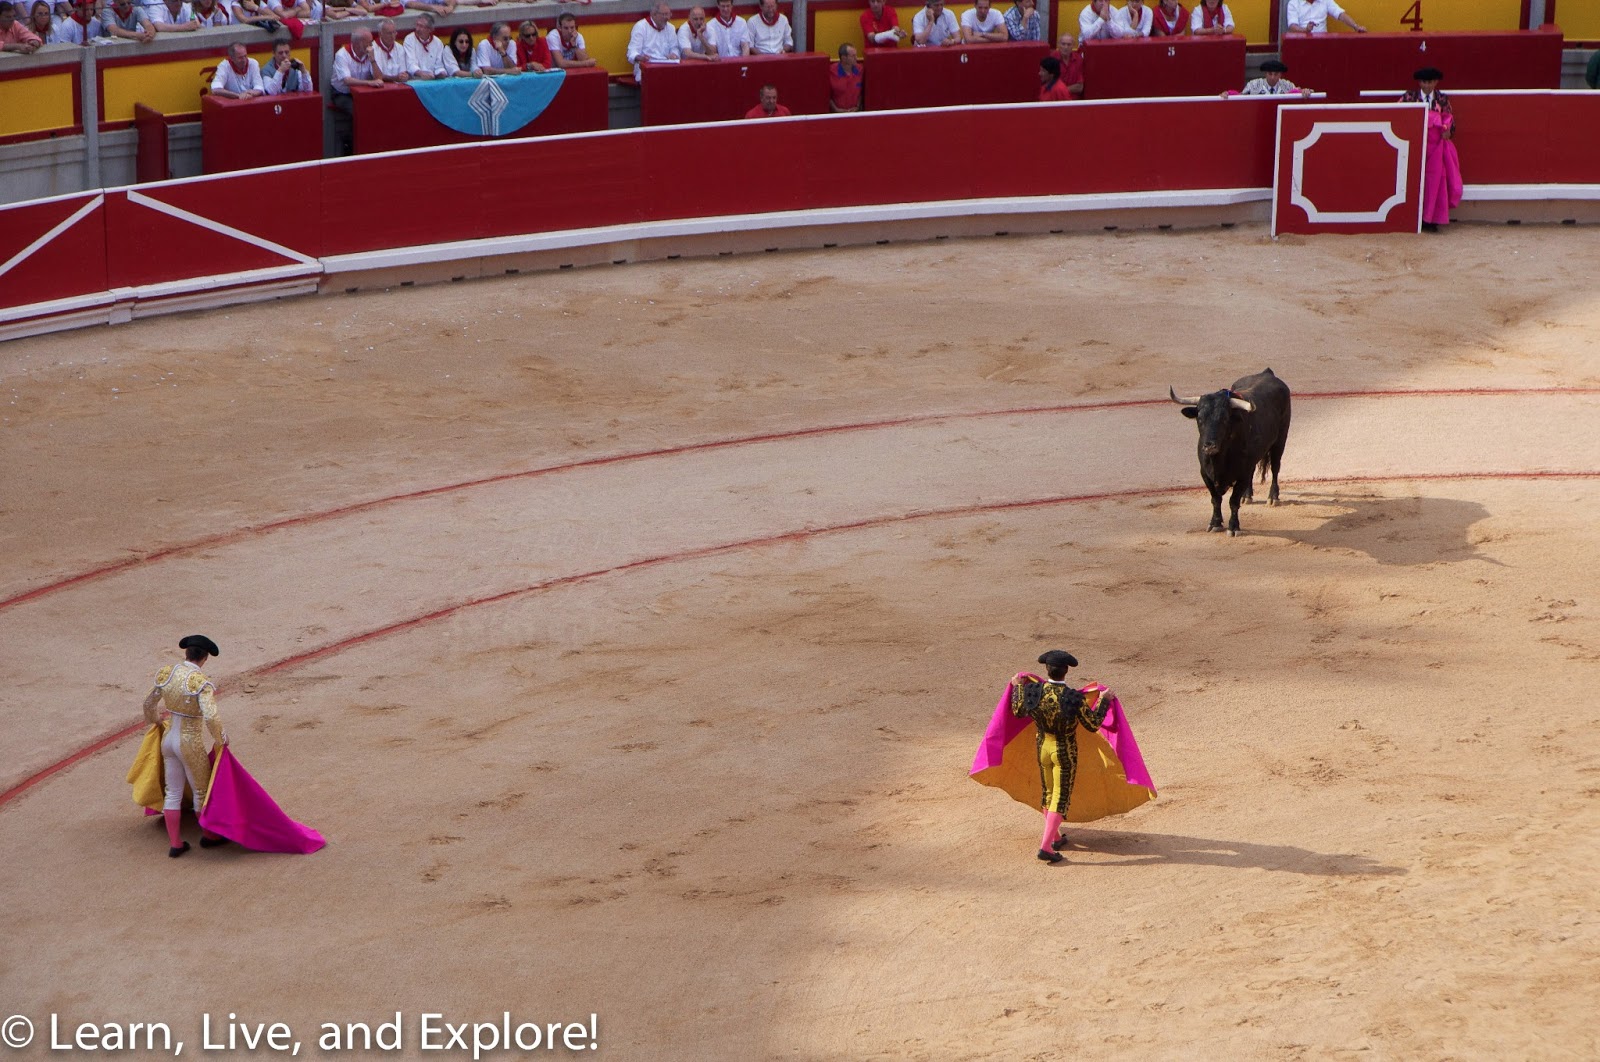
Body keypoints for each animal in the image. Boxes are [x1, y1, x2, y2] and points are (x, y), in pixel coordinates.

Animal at [1169, 367, 1291, 536]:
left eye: (1225, 419)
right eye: (1199, 418)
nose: (1209, 446)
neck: (1219, 460)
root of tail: (1267, 373)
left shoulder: (1242, 474)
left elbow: (1233, 501)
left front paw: (1233, 527)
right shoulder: (1205, 474)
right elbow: (1216, 499)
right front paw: (1215, 523)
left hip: (1280, 440)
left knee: (1275, 468)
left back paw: (1273, 498)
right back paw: (1247, 496)